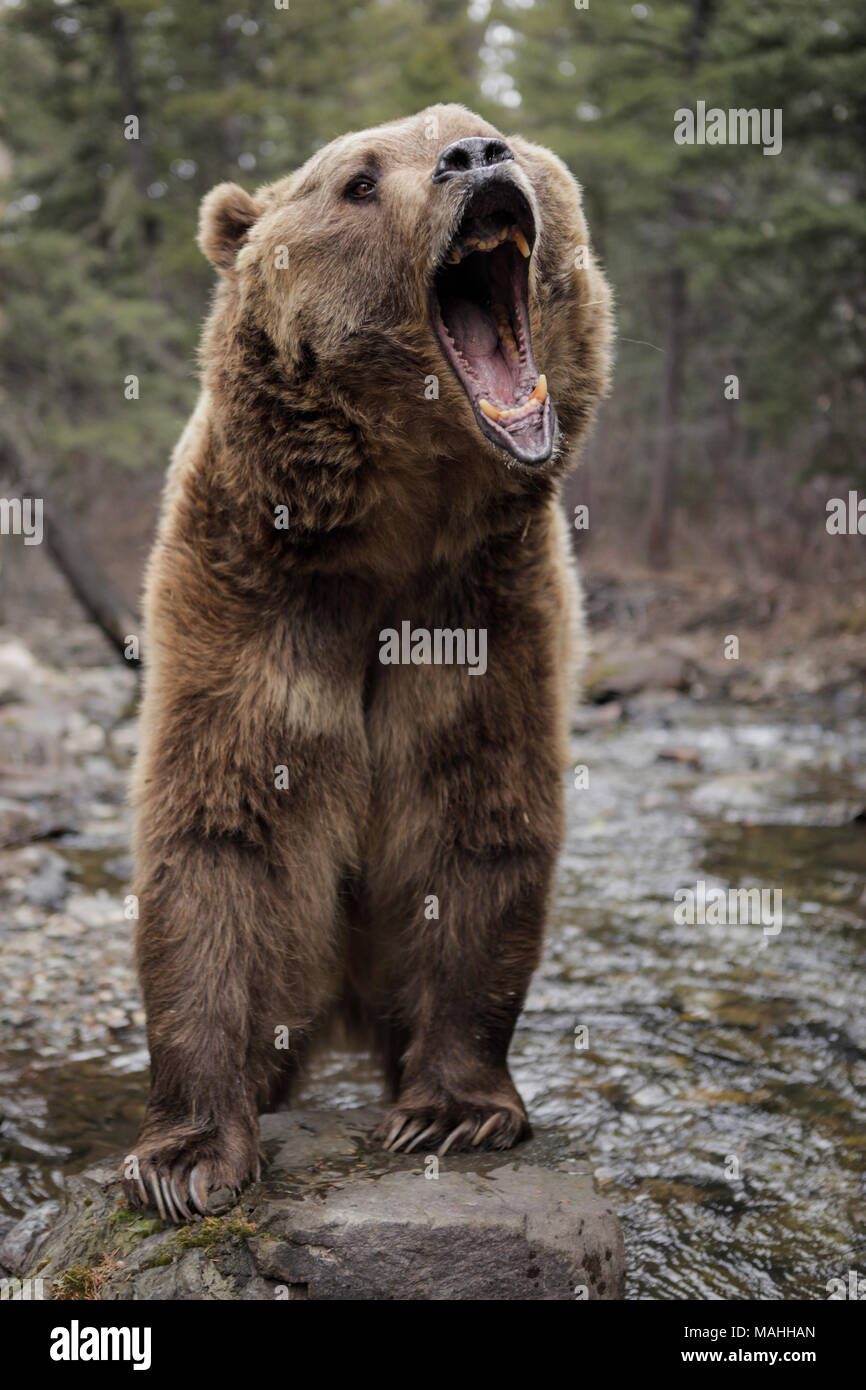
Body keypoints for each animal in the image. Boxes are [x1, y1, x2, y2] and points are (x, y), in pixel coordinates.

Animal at [125, 104, 612, 1222]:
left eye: (485, 127)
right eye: (357, 179)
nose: (474, 159)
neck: (397, 518)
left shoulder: (484, 604)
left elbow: (475, 821)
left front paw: (452, 1110)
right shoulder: (253, 596)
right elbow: (220, 833)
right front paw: (183, 1156)